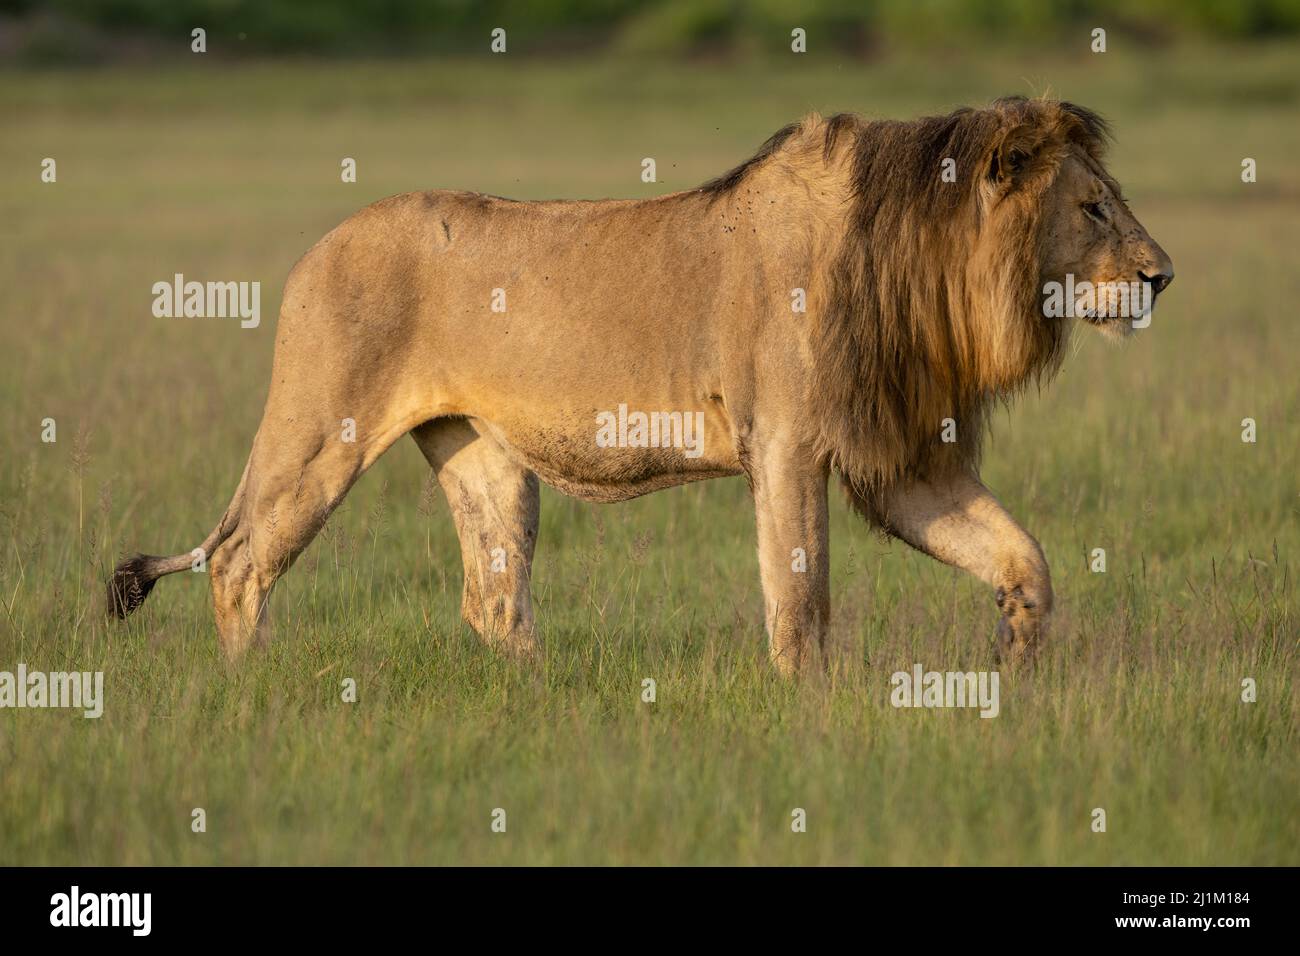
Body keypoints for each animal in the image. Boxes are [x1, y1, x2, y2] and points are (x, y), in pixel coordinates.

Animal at [109, 96, 1173, 675]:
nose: (1163, 275)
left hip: (484, 457)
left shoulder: (903, 459)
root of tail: (310, 251)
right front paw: (811, 712)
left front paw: (1017, 665)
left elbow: (1025, 559)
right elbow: (802, 599)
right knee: (240, 558)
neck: (925, 266)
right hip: (318, 427)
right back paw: (254, 686)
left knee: (494, 598)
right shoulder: (787, 443)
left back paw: (548, 699)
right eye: (1092, 207)